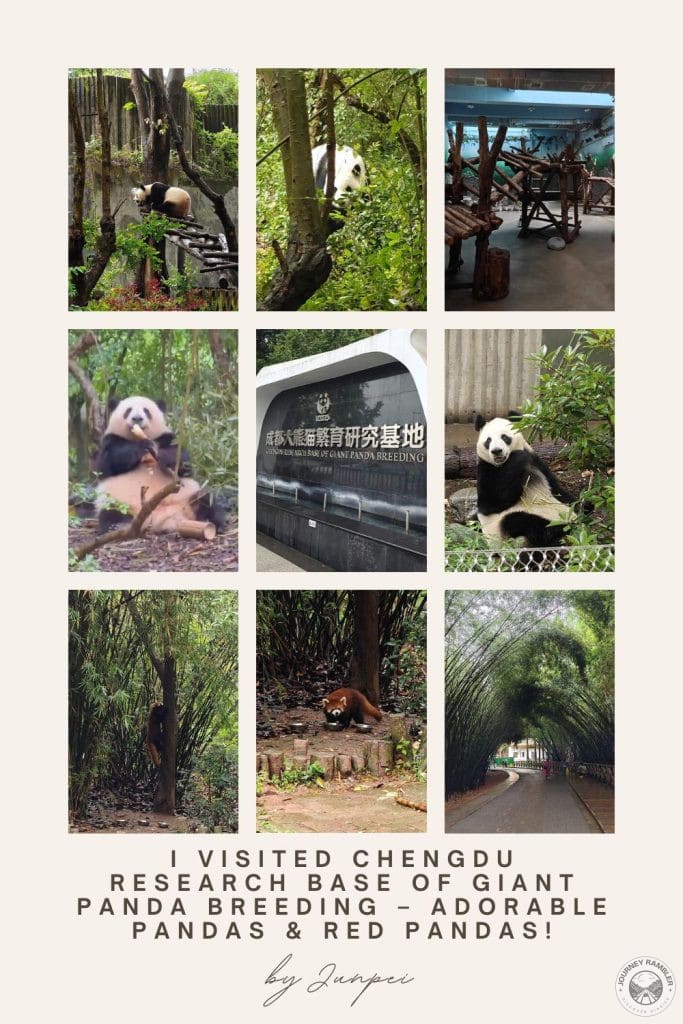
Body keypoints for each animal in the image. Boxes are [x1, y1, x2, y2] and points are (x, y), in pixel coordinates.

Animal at [95, 396, 222, 535]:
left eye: (146, 411)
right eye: (128, 410)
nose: (137, 418)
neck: (136, 437)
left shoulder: (166, 438)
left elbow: (184, 463)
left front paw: (163, 457)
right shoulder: (110, 440)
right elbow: (109, 463)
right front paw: (142, 446)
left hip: (187, 498)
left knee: (206, 499)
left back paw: (214, 523)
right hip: (118, 501)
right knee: (110, 513)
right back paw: (116, 526)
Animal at [474, 414, 577, 547]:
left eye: (504, 437)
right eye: (488, 440)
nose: (496, 451)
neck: (503, 464)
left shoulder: (535, 463)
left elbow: (555, 488)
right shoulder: (486, 469)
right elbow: (491, 503)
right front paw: (518, 457)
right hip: (501, 529)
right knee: (519, 521)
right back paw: (555, 533)